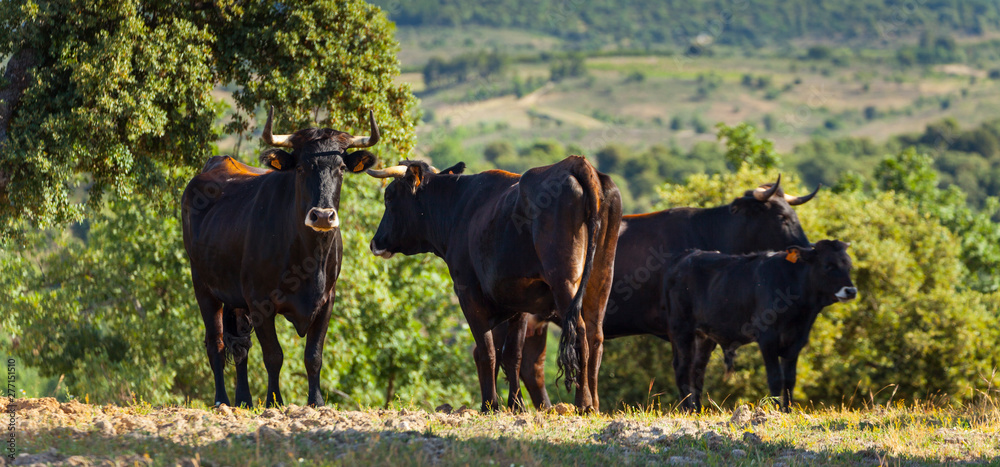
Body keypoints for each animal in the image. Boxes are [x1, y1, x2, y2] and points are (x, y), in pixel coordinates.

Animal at [181, 106, 379, 407]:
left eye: (342, 168)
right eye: (300, 167)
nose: (323, 215)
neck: (309, 258)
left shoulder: (327, 301)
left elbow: (314, 356)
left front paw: (316, 401)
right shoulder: (259, 301)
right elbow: (274, 356)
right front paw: (274, 401)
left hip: (234, 298)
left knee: (240, 347)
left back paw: (244, 400)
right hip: (203, 286)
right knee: (216, 343)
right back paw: (222, 400)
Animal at [366, 156, 621, 413]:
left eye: (389, 197)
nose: (374, 242)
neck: (457, 209)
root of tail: (575, 163)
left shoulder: (467, 293)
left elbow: (486, 351)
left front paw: (490, 404)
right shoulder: (520, 303)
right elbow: (512, 355)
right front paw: (516, 405)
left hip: (564, 280)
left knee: (579, 332)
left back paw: (583, 403)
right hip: (601, 277)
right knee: (595, 336)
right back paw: (594, 403)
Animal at [495, 177, 819, 409]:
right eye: (781, 217)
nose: (807, 248)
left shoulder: (705, 331)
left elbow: (698, 371)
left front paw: (697, 408)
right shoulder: (679, 327)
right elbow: (684, 369)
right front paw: (688, 408)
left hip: (538, 320)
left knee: (532, 366)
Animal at [663, 240, 857, 412]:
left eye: (849, 266)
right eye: (828, 266)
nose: (851, 291)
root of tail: (685, 257)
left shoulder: (797, 340)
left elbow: (790, 379)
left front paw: (788, 411)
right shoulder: (768, 338)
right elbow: (775, 378)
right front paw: (776, 410)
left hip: (704, 336)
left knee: (697, 371)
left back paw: (697, 410)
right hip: (681, 329)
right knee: (682, 369)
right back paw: (686, 410)